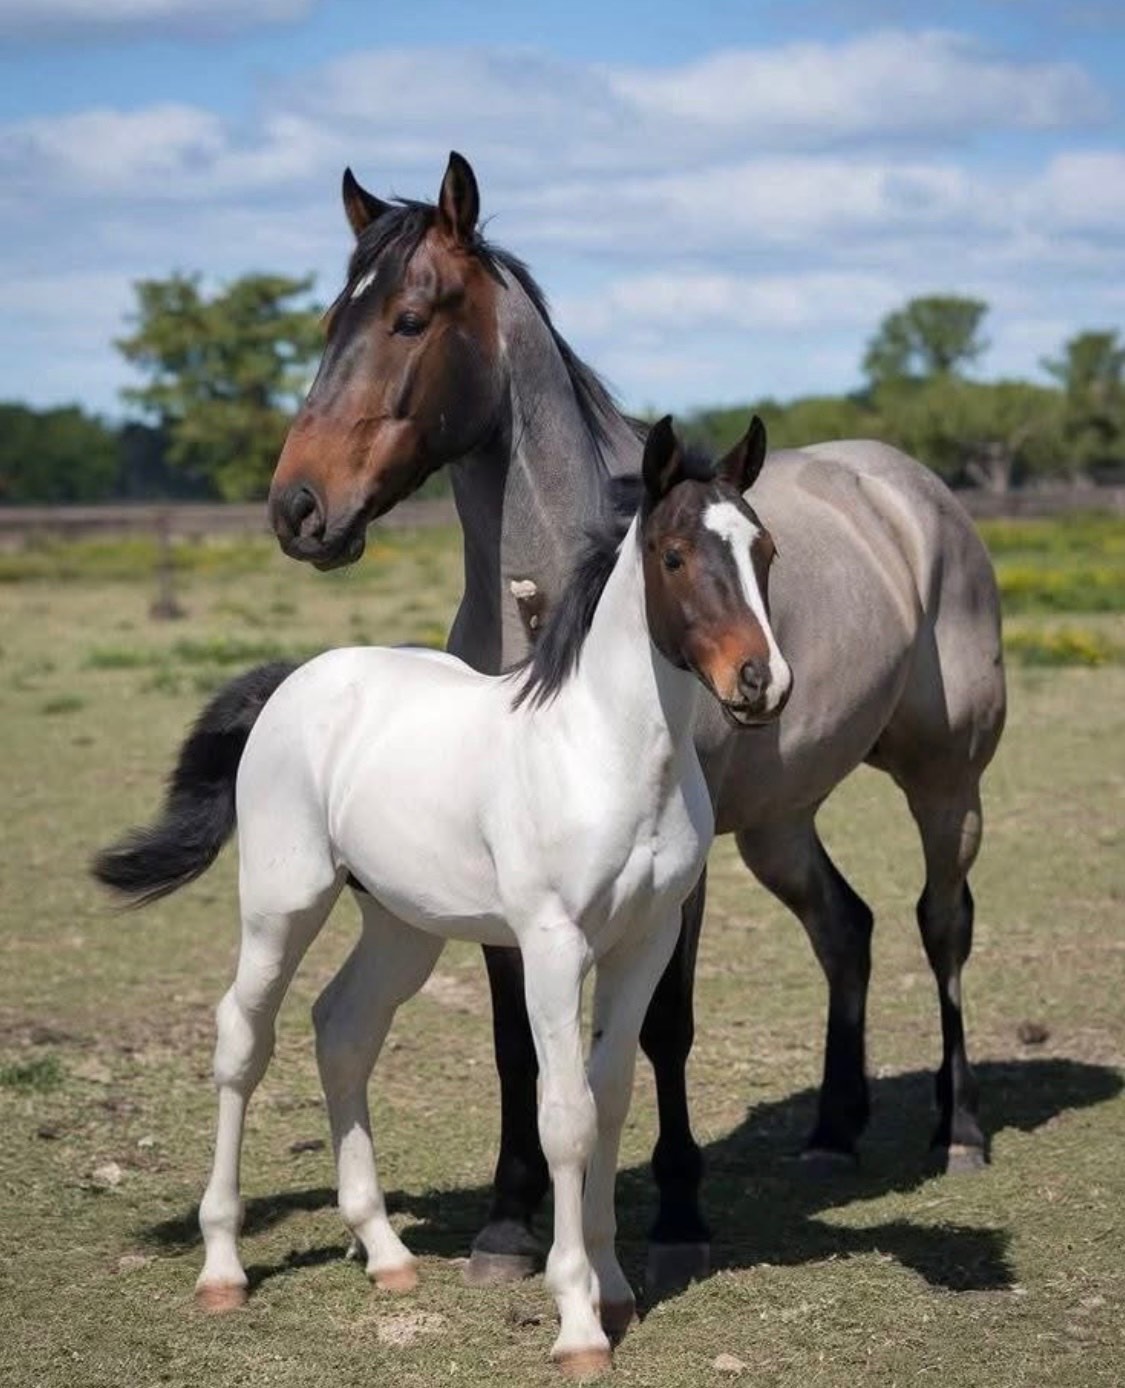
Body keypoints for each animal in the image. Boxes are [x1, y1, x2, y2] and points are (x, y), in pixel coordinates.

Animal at [95, 417, 790, 1373]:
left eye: (765, 550)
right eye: (676, 555)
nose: (761, 683)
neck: (604, 752)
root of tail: (294, 682)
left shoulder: (643, 942)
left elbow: (611, 1098)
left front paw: (612, 1287)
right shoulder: (551, 944)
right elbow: (565, 1115)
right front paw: (577, 1323)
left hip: (400, 926)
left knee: (342, 1029)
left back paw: (386, 1254)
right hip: (281, 902)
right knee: (243, 1037)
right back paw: (222, 1269)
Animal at [267, 153, 1007, 1293]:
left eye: (410, 316)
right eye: (326, 322)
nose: (298, 508)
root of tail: (911, 488)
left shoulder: (679, 870)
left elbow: (664, 1026)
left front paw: (679, 1210)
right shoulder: (506, 860)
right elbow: (515, 1043)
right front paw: (508, 1221)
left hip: (944, 781)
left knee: (942, 922)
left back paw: (957, 1130)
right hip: (783, 818)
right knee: (846, 927)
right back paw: (832, 1131)